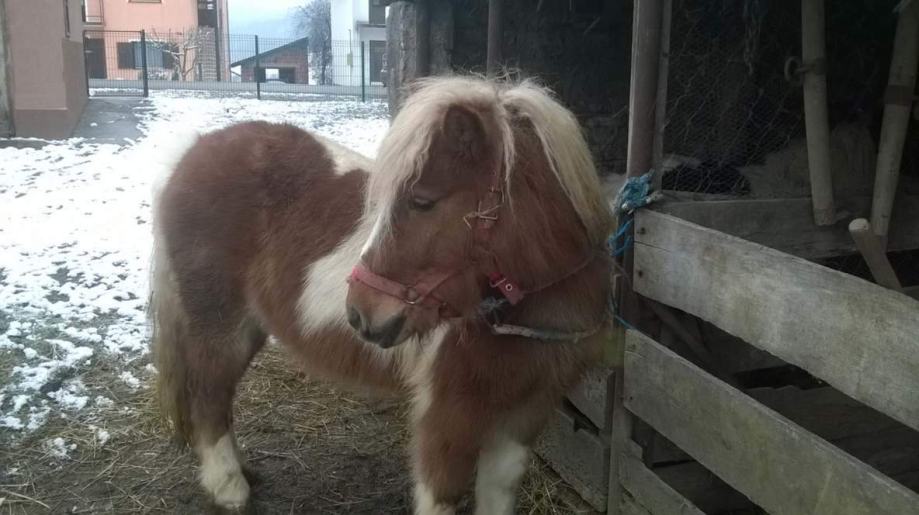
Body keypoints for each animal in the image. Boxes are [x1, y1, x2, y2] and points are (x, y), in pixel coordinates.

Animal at [150, 76, 614, 514]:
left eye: (422, 201)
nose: (359, 313)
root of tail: (193, 151)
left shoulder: (526, 412)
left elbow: (498, 492)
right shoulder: (448, 415)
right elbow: (441, 495)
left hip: (248, 327)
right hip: (217, 324)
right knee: (208, 396)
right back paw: (230, 490)